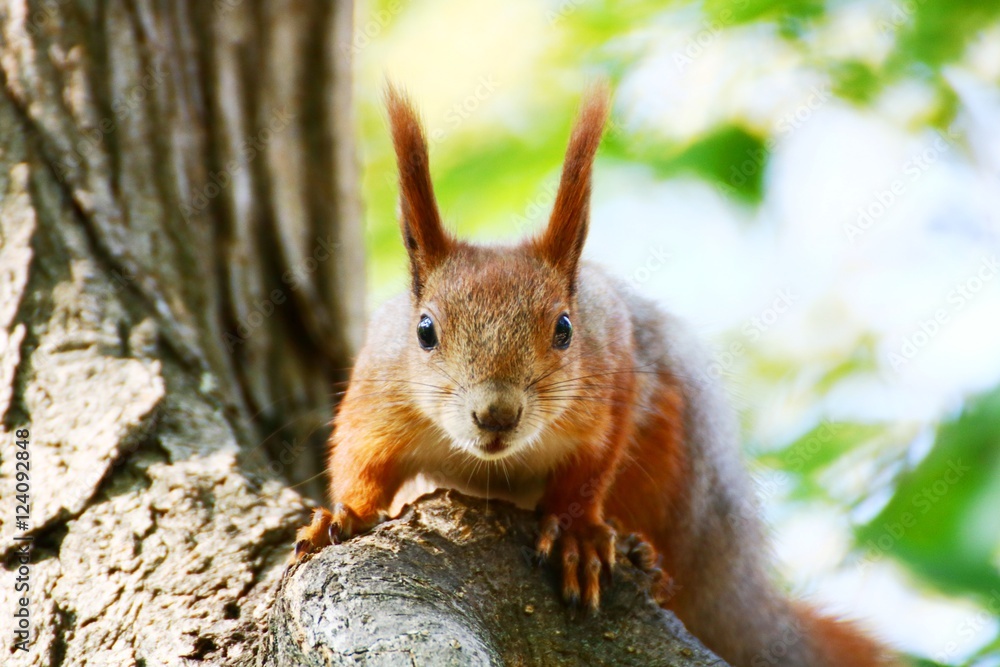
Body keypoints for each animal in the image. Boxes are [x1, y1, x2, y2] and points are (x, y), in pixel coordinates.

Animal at [293, 84, 900, 667]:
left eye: (565, 327)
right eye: (424, 331)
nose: (496, 414)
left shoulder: (612, 382)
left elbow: (591, 467)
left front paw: (577, 533)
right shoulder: (379, 393)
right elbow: (361, 460)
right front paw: (344, 514)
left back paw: (648, 561)